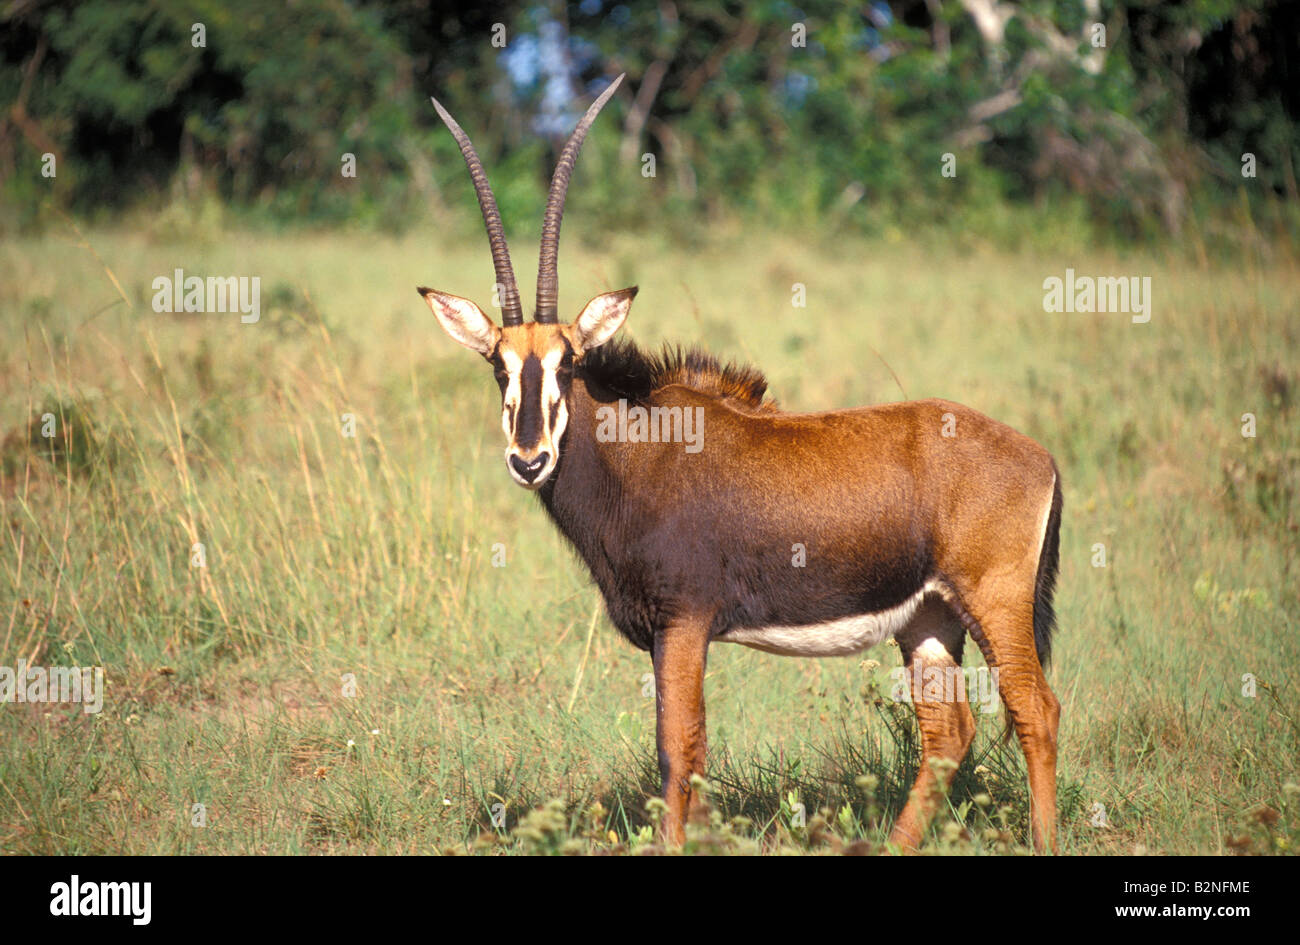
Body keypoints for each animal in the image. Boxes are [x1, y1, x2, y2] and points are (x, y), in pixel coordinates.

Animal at [420, 75, 1064, 852]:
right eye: (498, 365)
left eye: (568, 362)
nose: (528, 457)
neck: (642, 444)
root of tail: (1039, 456)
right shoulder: (670, 633)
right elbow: (683, 755)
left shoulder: (684, 622)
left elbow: (679, 750)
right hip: (930, 618)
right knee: (948, 732)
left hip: (995, 599)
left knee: (1035, 710)